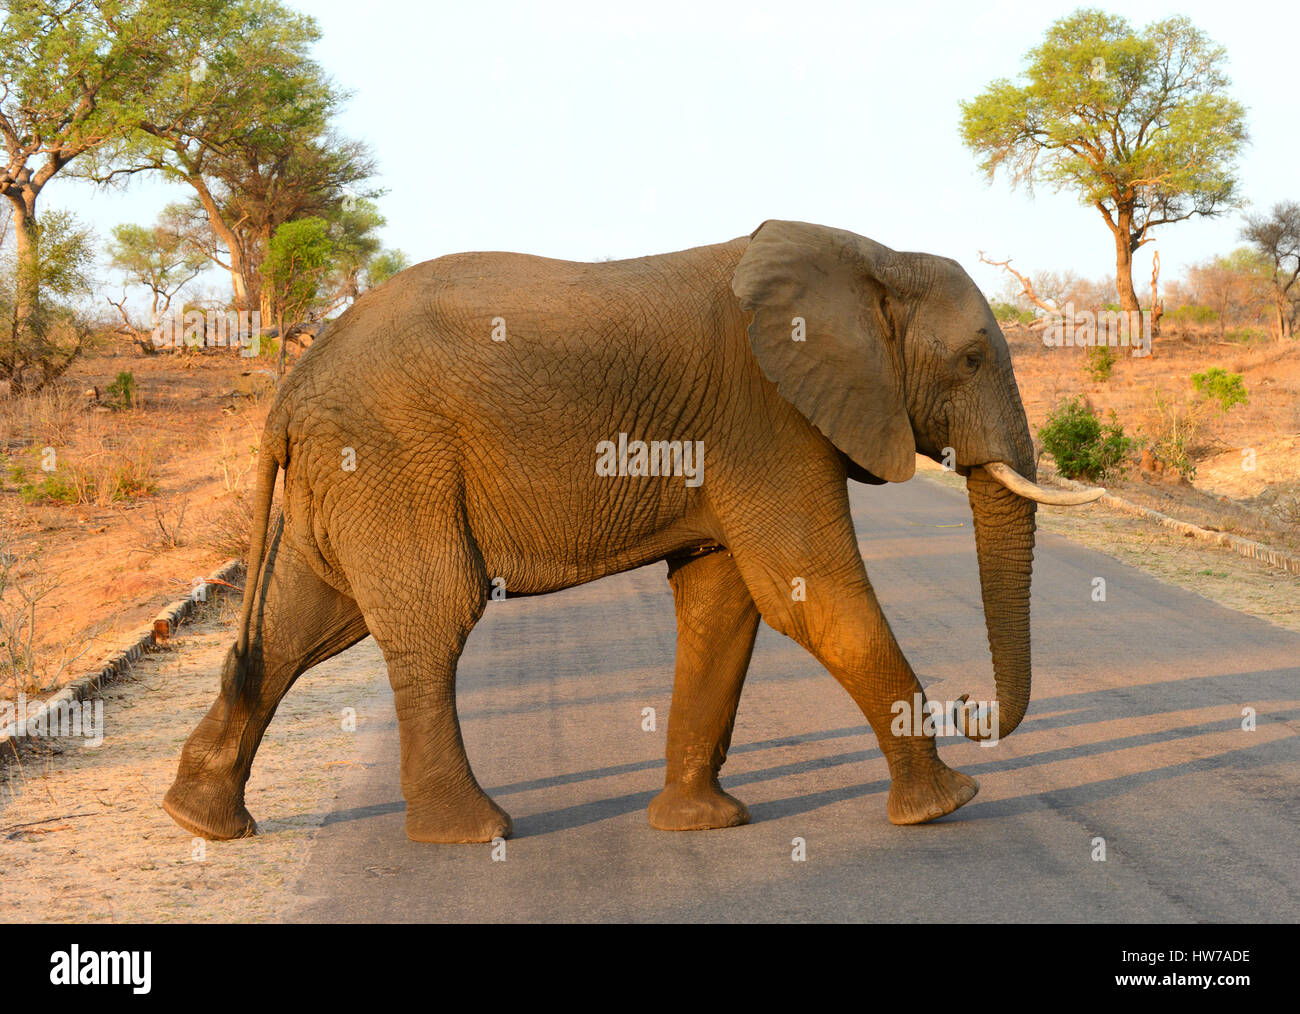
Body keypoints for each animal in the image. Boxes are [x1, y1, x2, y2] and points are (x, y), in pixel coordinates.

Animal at [163, 219, 1102, 843]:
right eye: (973, 360)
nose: (973, 709)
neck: (870, 257)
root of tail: (288, 391)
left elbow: (725, 605)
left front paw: (700, 825)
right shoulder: (763, 420)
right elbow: (812, 596)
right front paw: (947, 806)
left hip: (348, 475)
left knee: (300, 627)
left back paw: (203, 823)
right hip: (390, 457)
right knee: (432, 618)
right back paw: (474, 833)